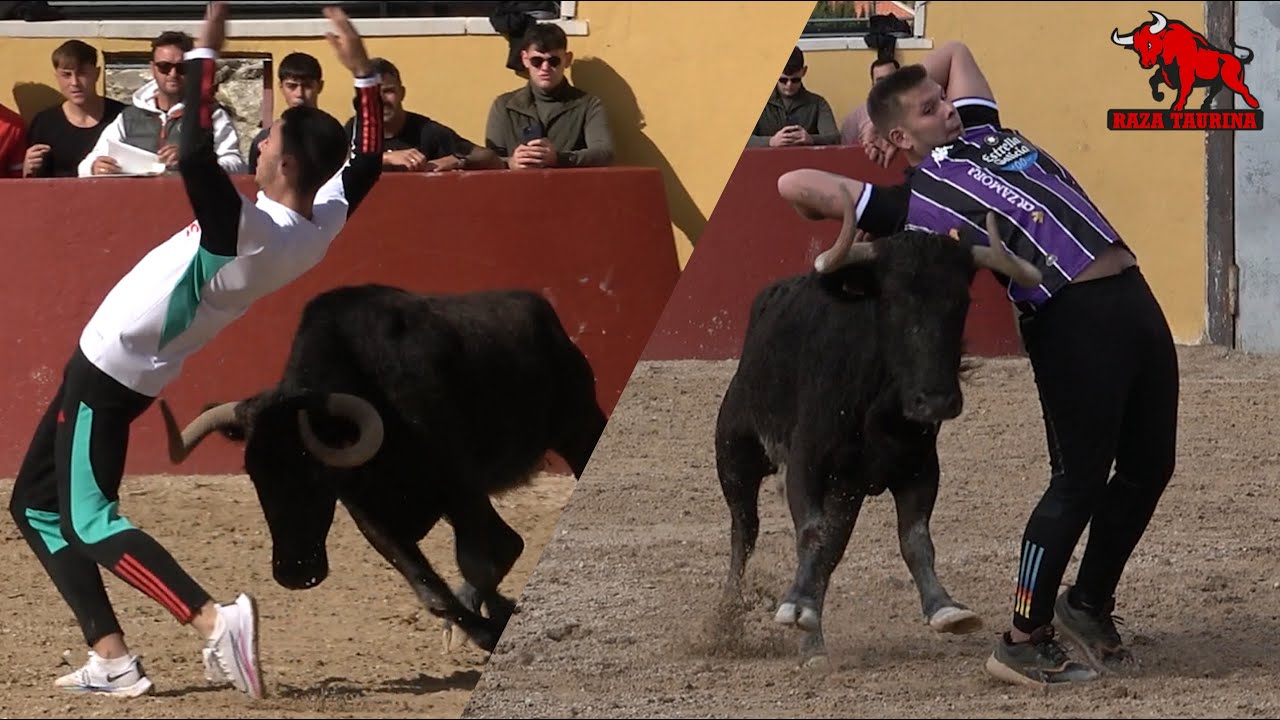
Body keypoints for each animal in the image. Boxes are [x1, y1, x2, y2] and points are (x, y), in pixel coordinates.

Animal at [155, 283, 608, 654]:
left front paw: (489, 624)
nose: (295, 573)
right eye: (254, 475)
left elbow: (487, 557)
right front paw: (483, 627)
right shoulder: (370, 515)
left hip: (580, 427)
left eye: (316, 475)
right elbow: (430, 589)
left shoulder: (460, 489)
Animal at [714, 198, 1043, 669]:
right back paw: (730, 614)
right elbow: (810, 534)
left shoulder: (918, 468)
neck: (879, 405)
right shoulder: (806, 463)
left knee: (829, 546)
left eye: (961, 301)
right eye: (892, 300)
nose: (936, 401)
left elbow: (914, 539)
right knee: (744, 531)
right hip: (734, 454)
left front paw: (945, 608)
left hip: (846, 491)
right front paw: (796, 609)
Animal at [1111, 10, 1258, 112]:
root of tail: (1237, 60)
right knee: (1216, 90)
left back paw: (1253, 103)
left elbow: (1184, 90)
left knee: (1243, 88)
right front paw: (1159, 96)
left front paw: (1177, 107)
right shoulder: (1165, 73)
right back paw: (1205, 104)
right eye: (1137, 49)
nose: (1145, 63)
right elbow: (1153, 80)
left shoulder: (1186, 77)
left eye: (1149, 44)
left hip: (1231, 79)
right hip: (1218, 81)